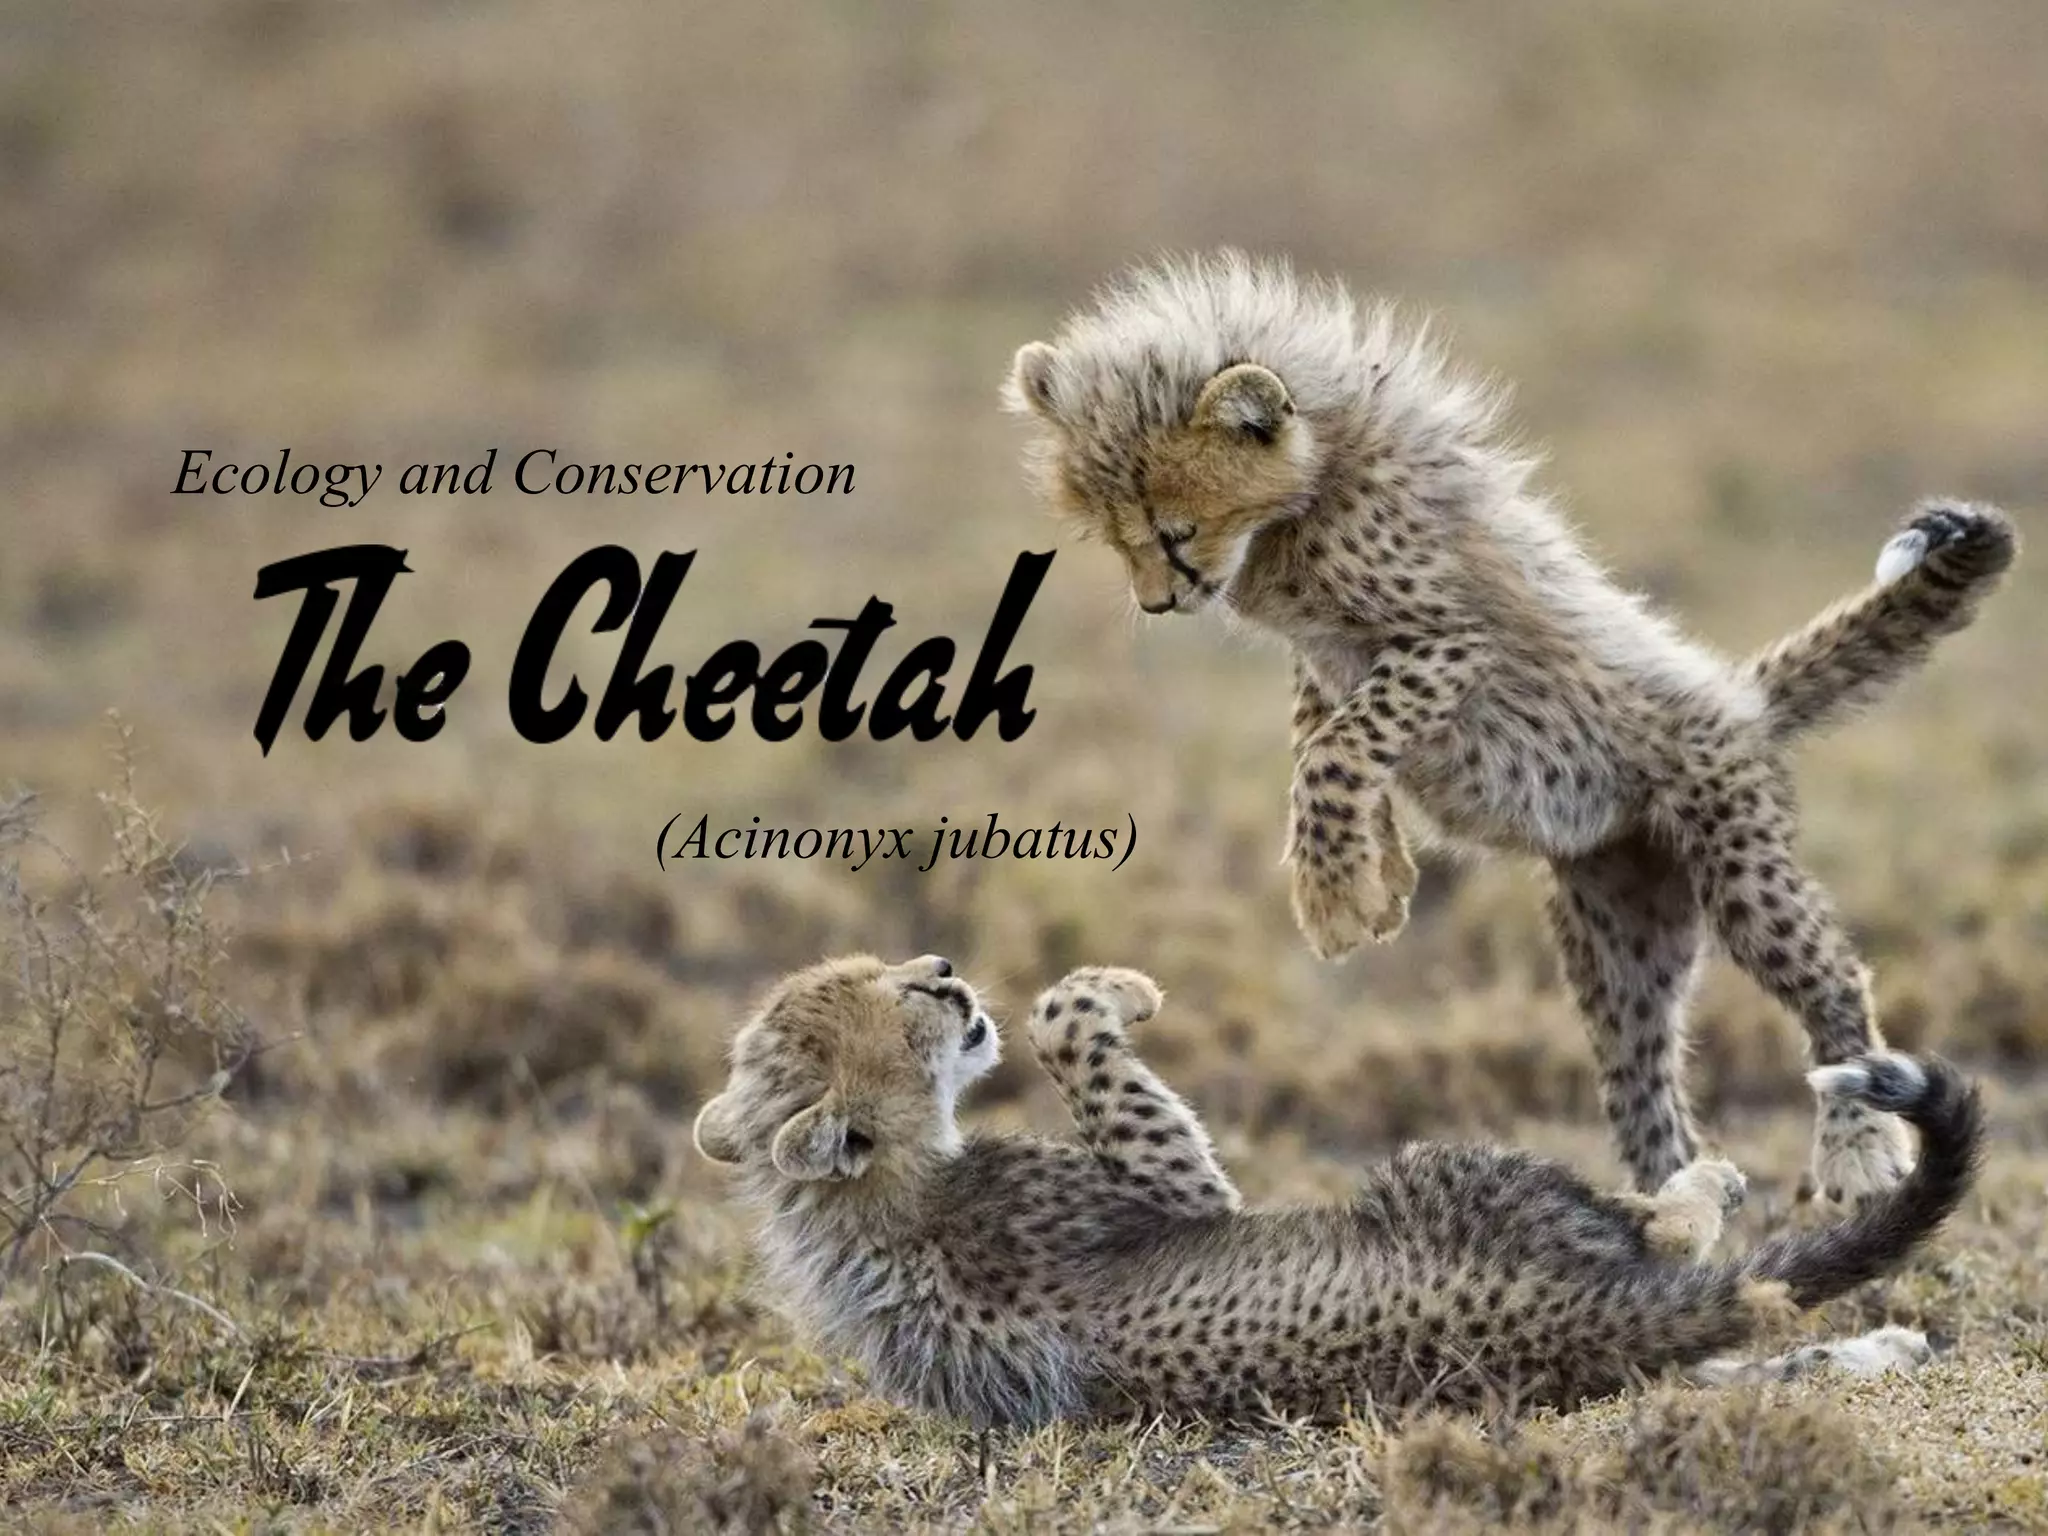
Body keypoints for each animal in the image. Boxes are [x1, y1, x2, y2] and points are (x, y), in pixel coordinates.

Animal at [692, 954, 1981, 1430]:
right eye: (900, 1001)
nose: (946, 973)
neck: (870, 1204)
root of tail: (1555, 1325)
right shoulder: (1177, 1193)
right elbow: (1070, 1031)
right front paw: (1117, 992)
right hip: (1450, 1175)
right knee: (1671, 1248)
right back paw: (1699, 1180)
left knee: (1734, 1351)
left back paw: (1883, 1348)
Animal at [1002, 251, 2019, 1204]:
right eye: (1115, 537)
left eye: (1173, 531)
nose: (1157, 601)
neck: (1311, 490)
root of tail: (1737, 695)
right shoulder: (1328, 658)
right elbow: (1321, 731)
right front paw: (1378, 877)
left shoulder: (1451, 642)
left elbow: (1338, 747)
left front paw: (1336, 898)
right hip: (1622, 939)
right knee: (1644, 1086)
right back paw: (1668, 1210)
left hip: (1737, 865)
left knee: (1834, 983)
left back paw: (1856, 1146)